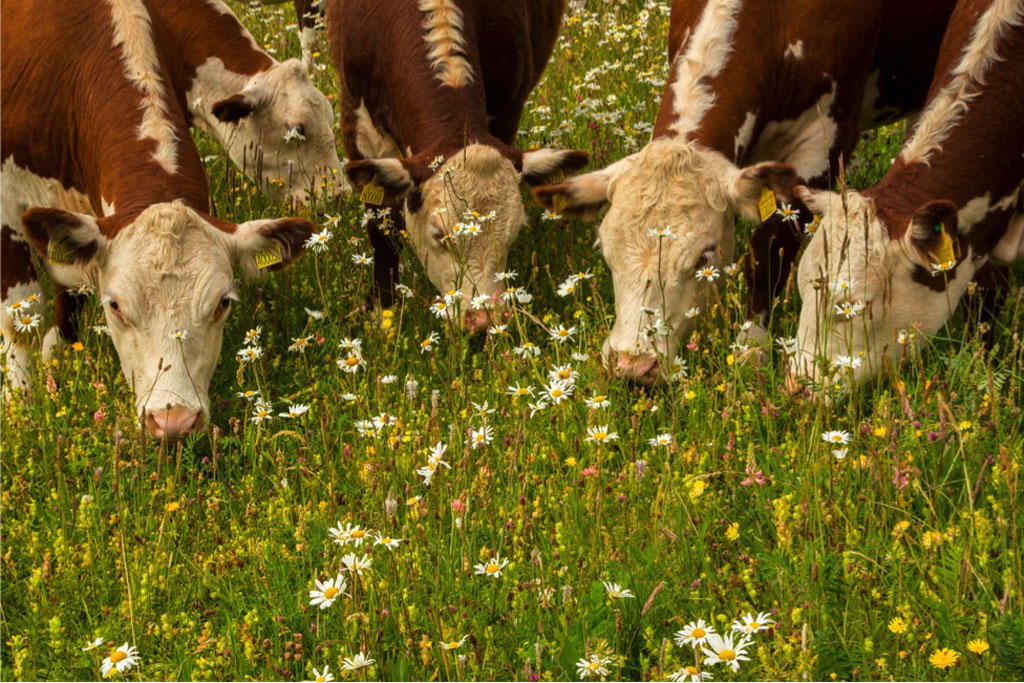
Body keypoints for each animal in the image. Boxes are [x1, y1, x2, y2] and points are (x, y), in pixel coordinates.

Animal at [325, 0, 589, 330]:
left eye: (515, 230)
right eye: (439, 235)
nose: (484, 320)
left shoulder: (507, 110)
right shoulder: (357, 120)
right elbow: (383, 231)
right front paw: (381, 313)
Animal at [533, 0, 957, 383]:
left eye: (704, 258)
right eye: (605, 250)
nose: (632, 366)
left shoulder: (825, 139)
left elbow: (768, 249)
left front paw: (752, 346)